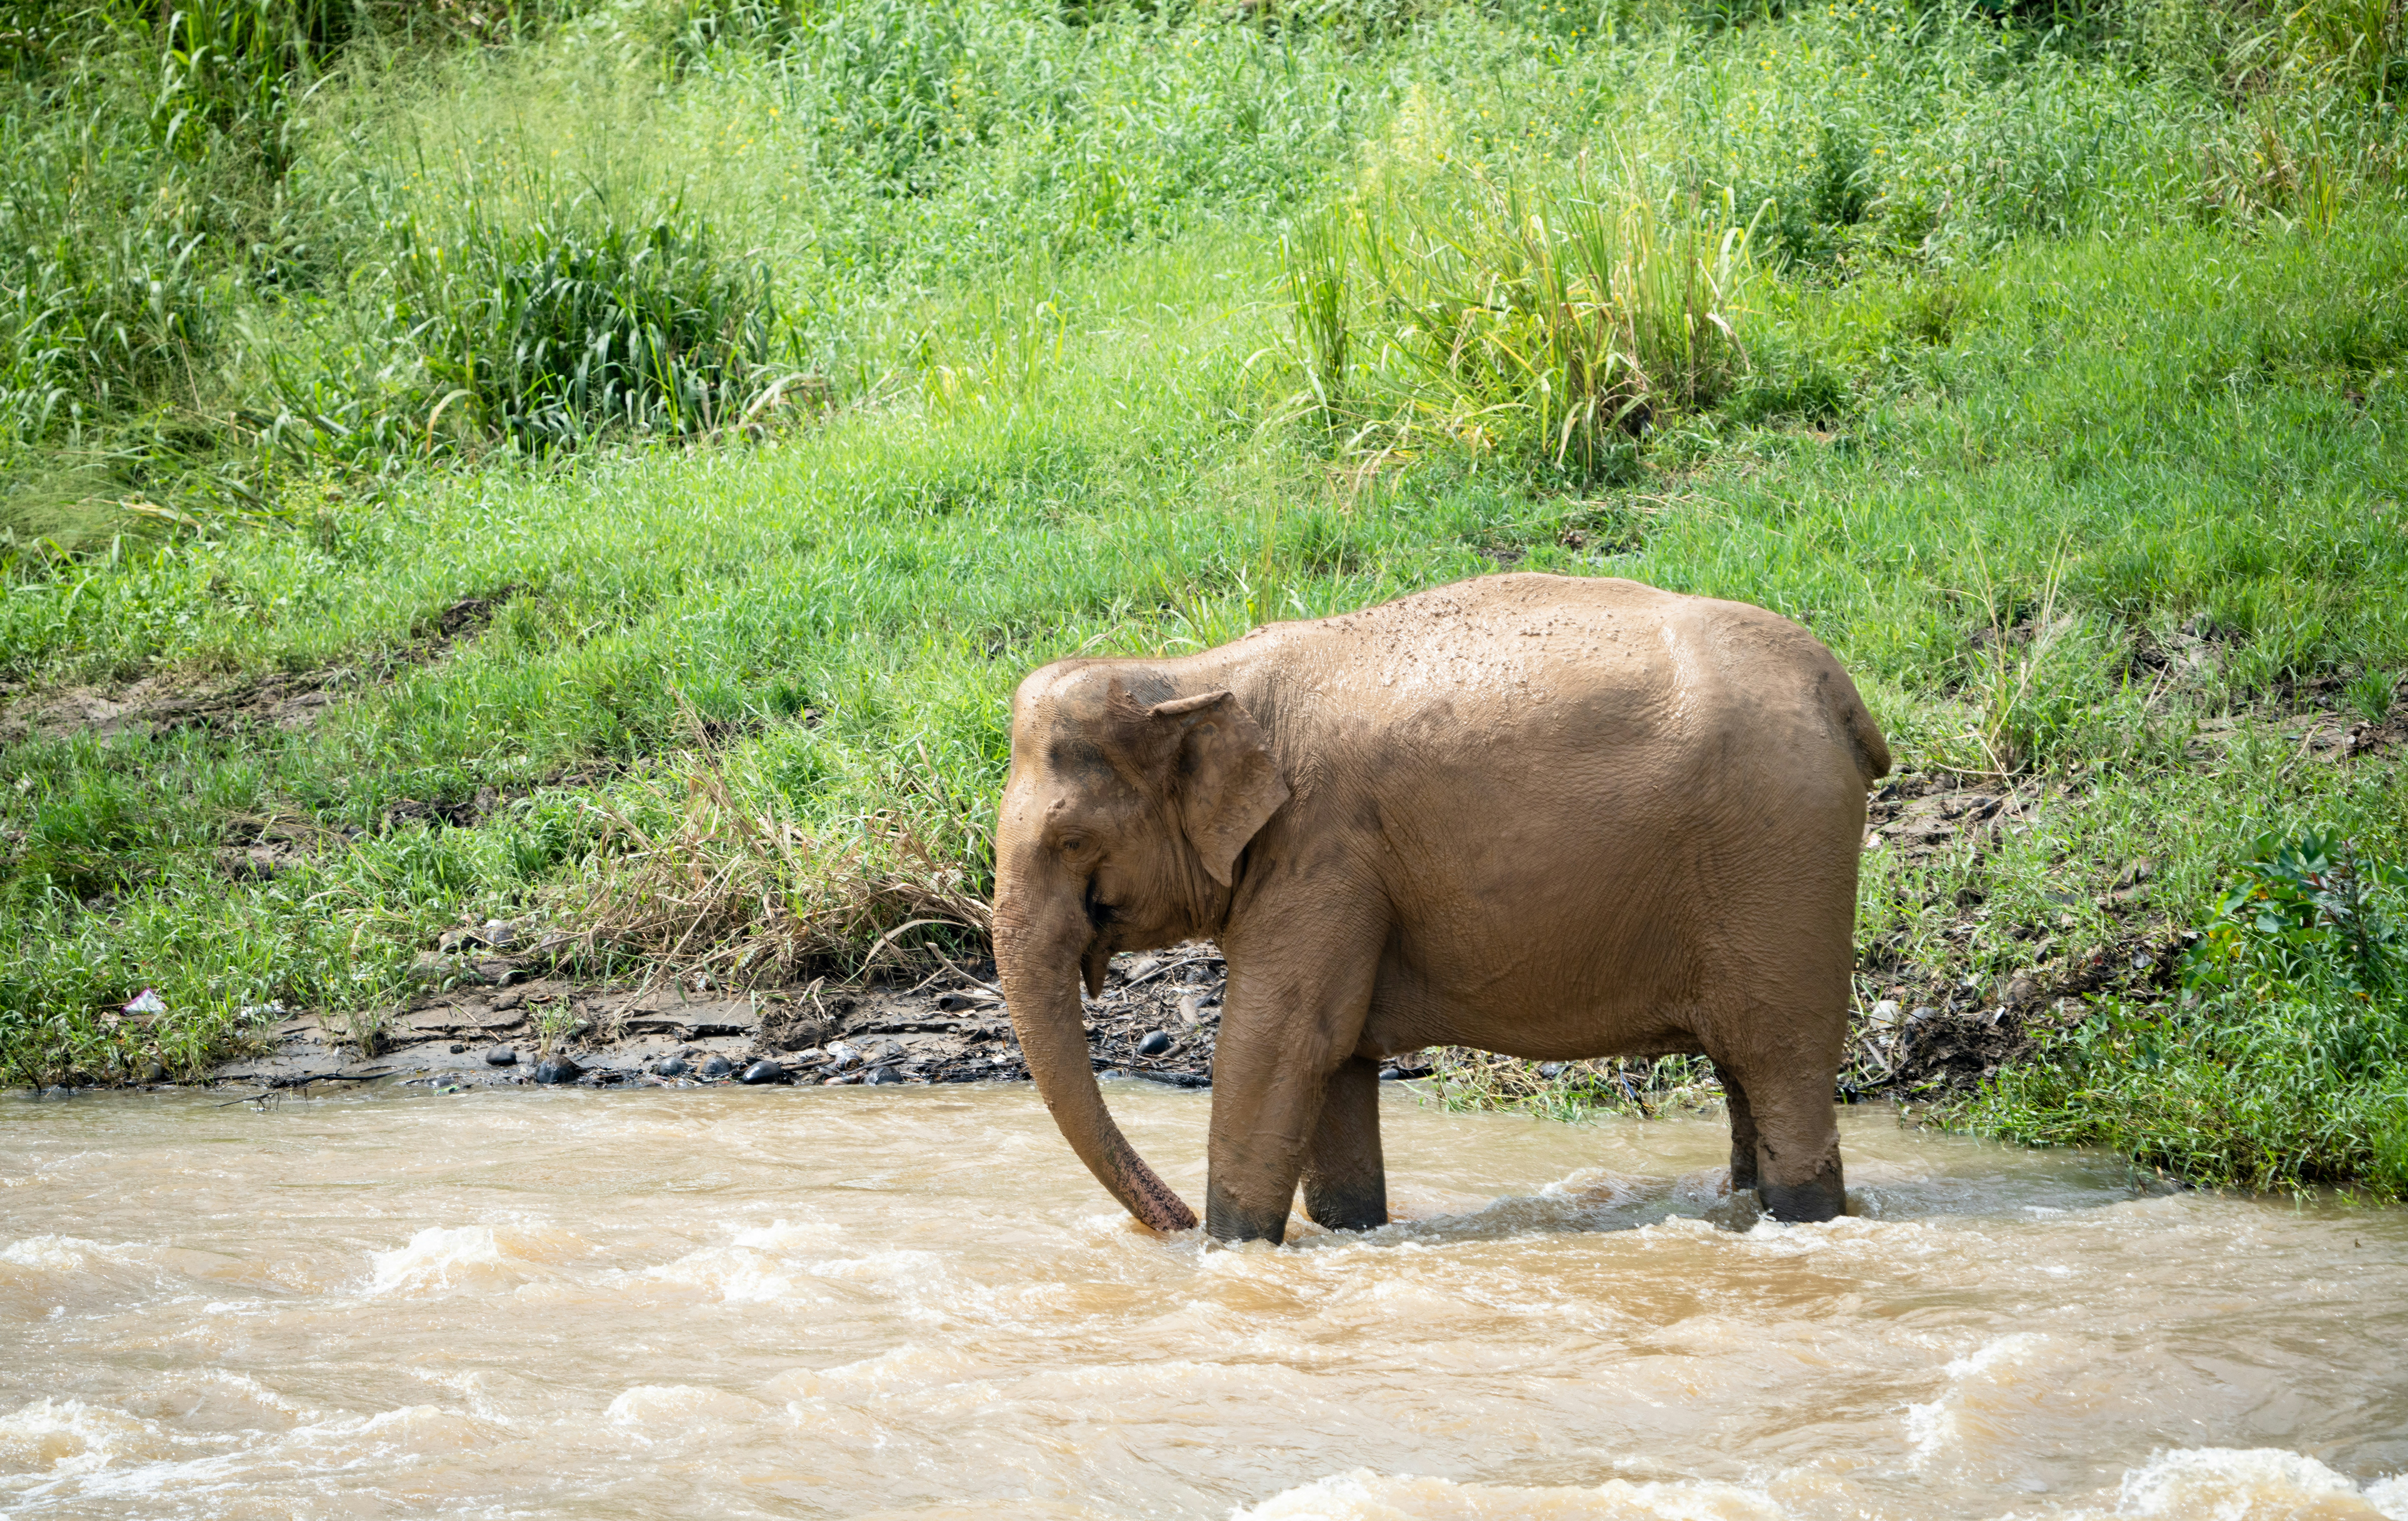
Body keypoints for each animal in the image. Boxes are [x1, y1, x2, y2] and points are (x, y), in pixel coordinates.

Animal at [991, 572, 1891, 1243]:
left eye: (1071, 839)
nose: (1171, 1227)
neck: (1195, 674)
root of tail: (1841, 693)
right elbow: (1335, 1062)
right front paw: (1348, 1233)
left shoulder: (1324, 848)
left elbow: (1276, 1042)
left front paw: (1233, 1250)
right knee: (1743, 1072)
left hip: (1781, 853)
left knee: (1781, 1061)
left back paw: (1804, 1218)